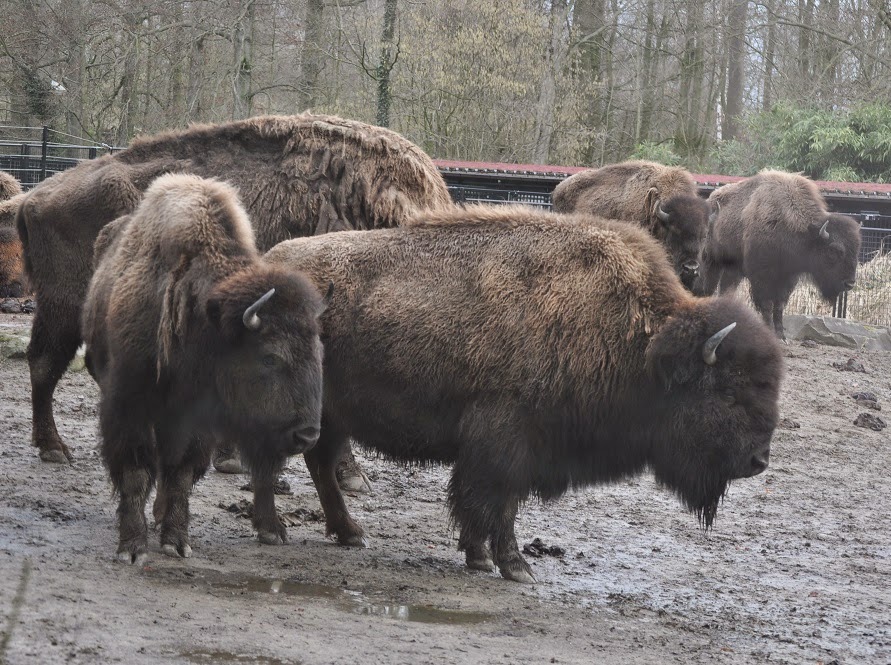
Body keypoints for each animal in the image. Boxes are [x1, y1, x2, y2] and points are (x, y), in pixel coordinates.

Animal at [82, 174, 326, 563]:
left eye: (319, 353)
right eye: (270, 357)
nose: (307, 436)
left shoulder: (195, 421)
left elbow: (181, 474)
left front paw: (176, 541)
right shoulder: (129, 404)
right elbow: (136, 471)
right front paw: (133, 548)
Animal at [265, 204, 783, 583]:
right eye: (728, 393)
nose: (758, 461)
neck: (644, 344)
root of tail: (270, 262)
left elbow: (487, 504)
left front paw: (479, 557)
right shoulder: (507, 442)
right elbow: (497, 503)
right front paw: (515, 567)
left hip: (333, 417)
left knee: (320, 464)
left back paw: (350, 533)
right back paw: (297, 532)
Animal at [696, 170, 861, 339]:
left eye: (856, 250)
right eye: (833, 251)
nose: (850, 284)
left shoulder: (788, 278)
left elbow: (780, 305)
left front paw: (781, 335)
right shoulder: (762, 277)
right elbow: (767, 304)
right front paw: (769, 330)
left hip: (734, 270)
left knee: (726, 289)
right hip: (711, 261)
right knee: (708, 287)